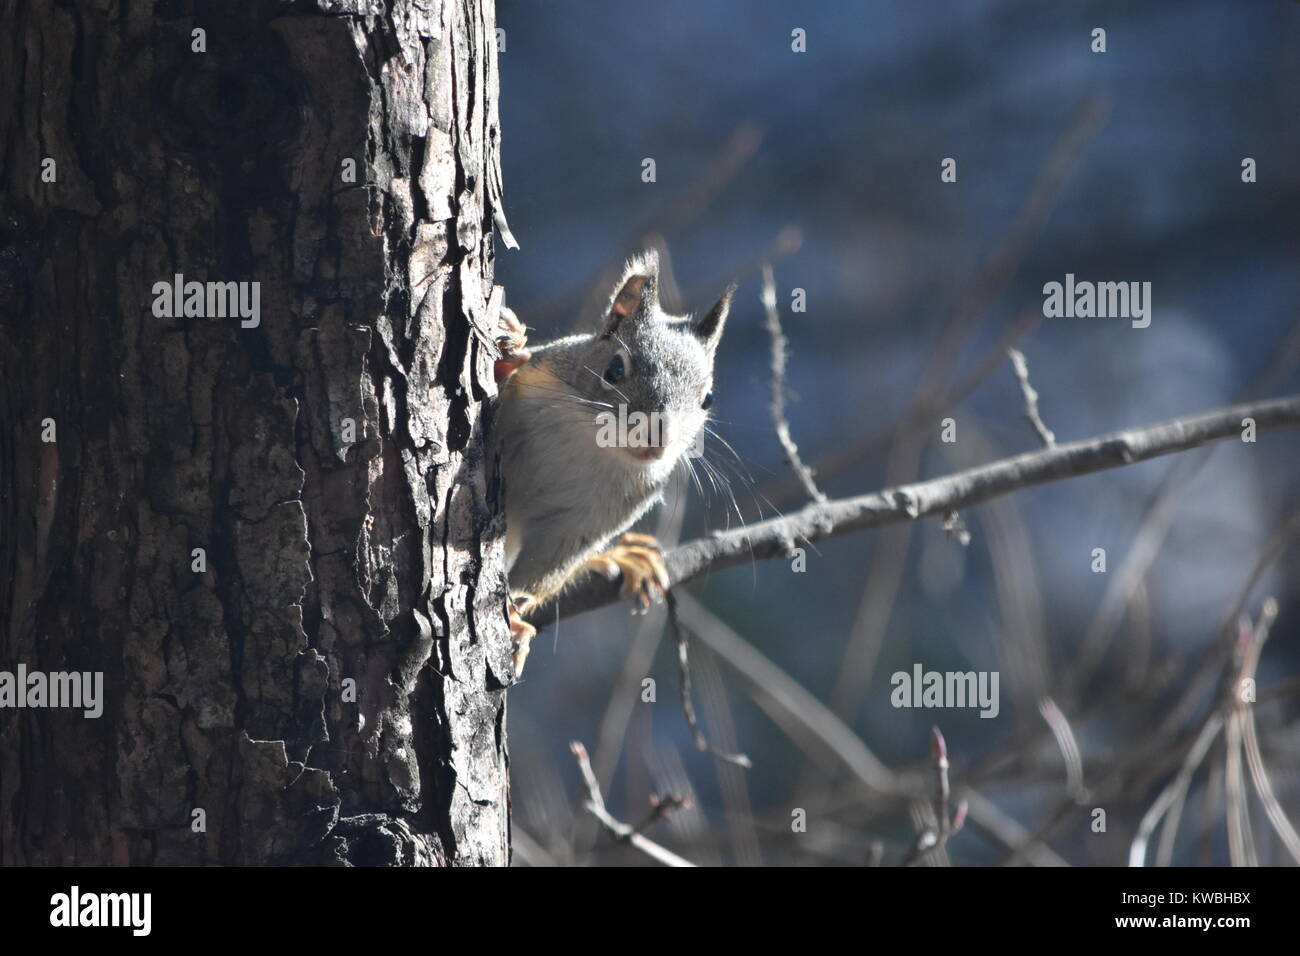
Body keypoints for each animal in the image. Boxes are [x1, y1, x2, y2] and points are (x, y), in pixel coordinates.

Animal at [491, 250, 734, 673]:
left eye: (708, 399)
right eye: (615, 370)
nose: (658, 439)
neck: (593, 445)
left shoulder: (591, 519)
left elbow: (549, 564)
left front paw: (517, 618)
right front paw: (508, 355)